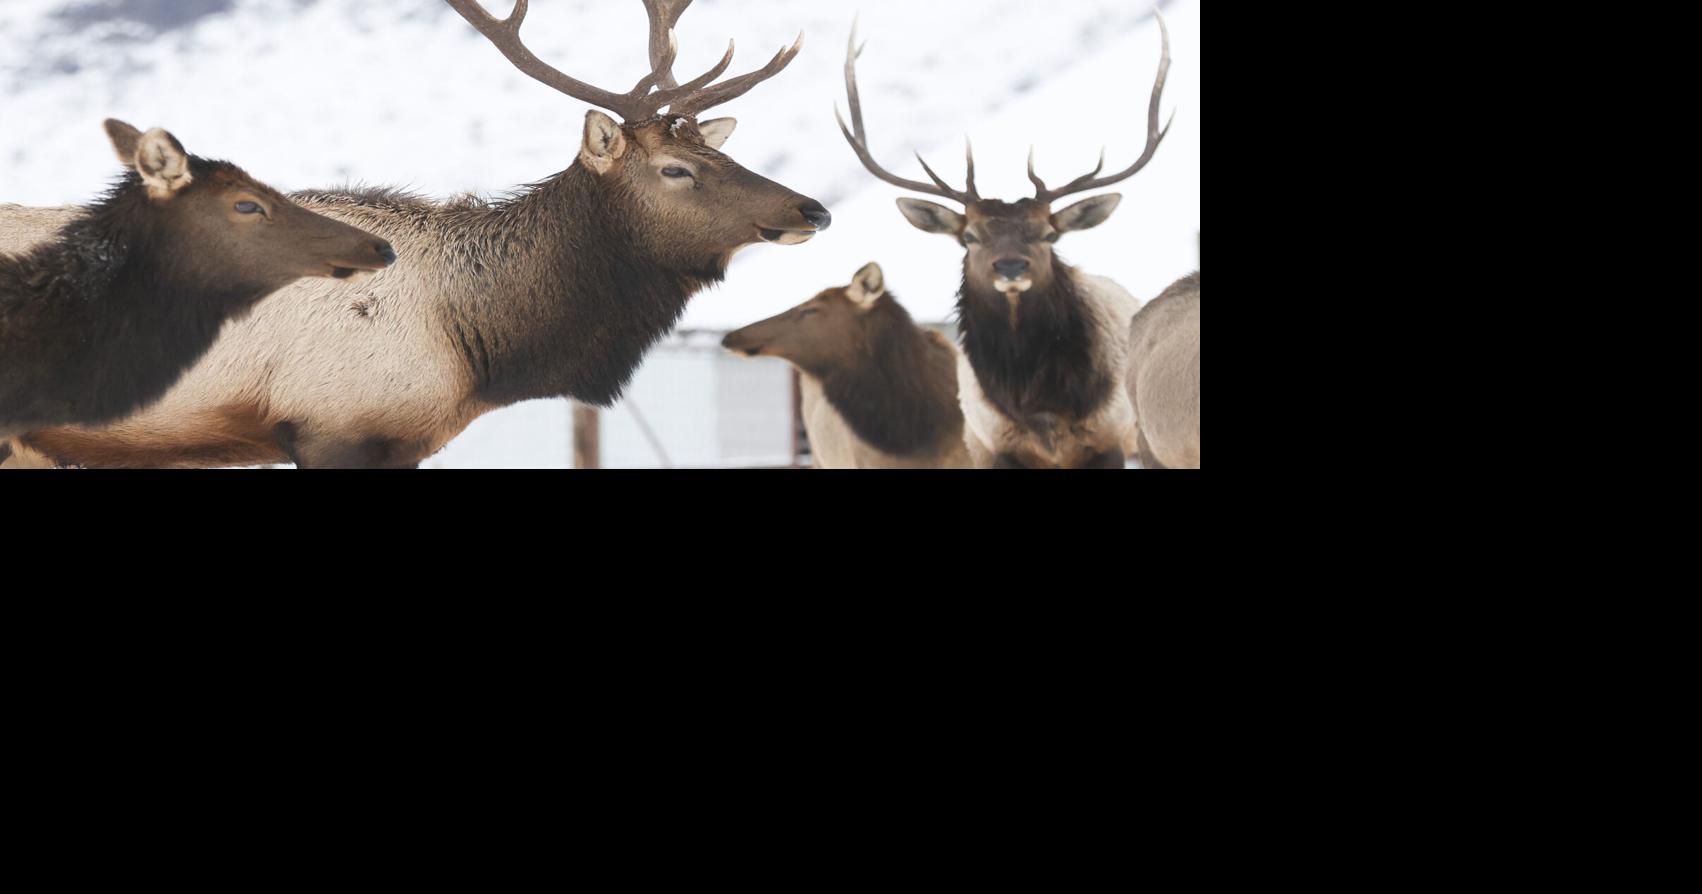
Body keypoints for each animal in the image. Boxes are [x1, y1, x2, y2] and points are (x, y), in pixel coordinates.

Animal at [834, 12, 1175, 469]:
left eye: (1048, 234)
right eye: (970, 237)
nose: (1011, 266)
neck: (1039, 406)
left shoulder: (1109, 439)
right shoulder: (999, 446)